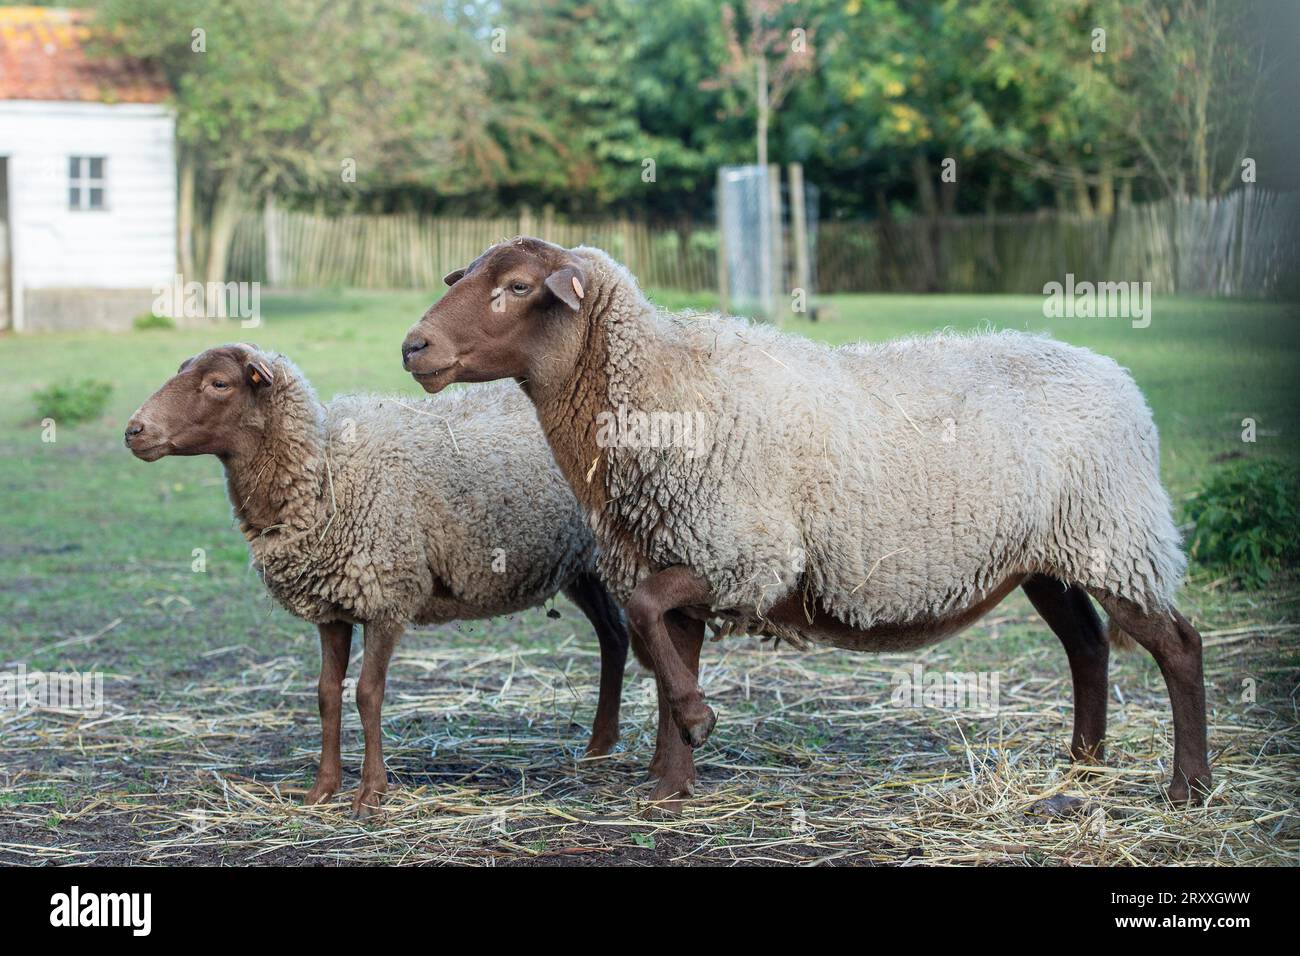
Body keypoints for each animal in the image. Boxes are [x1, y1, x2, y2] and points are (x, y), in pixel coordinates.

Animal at [125, 343, 631, 817]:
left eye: (219, 384)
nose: (134, 431)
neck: (325, 474)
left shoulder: (387, 595)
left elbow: (368, 695)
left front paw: (371, 793)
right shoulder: (330, 607)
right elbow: (327, 694)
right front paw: (322, 790)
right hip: (582, 566)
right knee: (614, 636)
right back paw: (598, 747)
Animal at [401, 236, 1211, 812]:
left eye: (516, 287)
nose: (414, 346)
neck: (663, 384)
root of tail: (1118, 378)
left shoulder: (744, 553)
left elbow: (645, 619)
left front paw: (697, 725)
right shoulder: (677, 550)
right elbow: (660, 644)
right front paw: (669, 783)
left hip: (1114, 535)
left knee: (1178, 645)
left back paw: (1187, 787)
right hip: (1052, 554)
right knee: (1088, 645)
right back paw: (1085, 764)